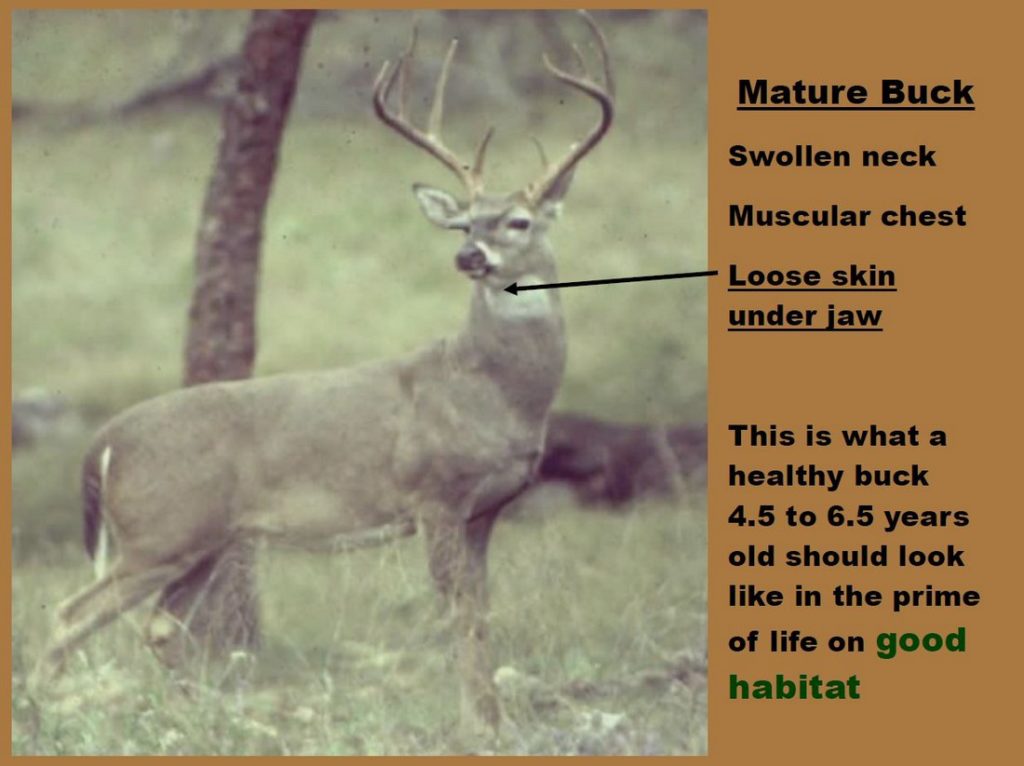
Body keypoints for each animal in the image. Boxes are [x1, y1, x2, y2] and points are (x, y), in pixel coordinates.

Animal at [29, 11, 614, 740]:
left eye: (519, 221)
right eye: (463, 223)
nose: (469, 256)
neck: (490, 391)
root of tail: (101, 443)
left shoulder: (485, 509)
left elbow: (480, 614)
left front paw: (494, 720)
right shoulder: (433, 495)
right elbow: (456, 615)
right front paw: (477, 726)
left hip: (203, 540)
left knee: (158, 626)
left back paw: (198, 719)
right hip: (158, 531)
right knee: (68, 615)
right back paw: (41, 716)